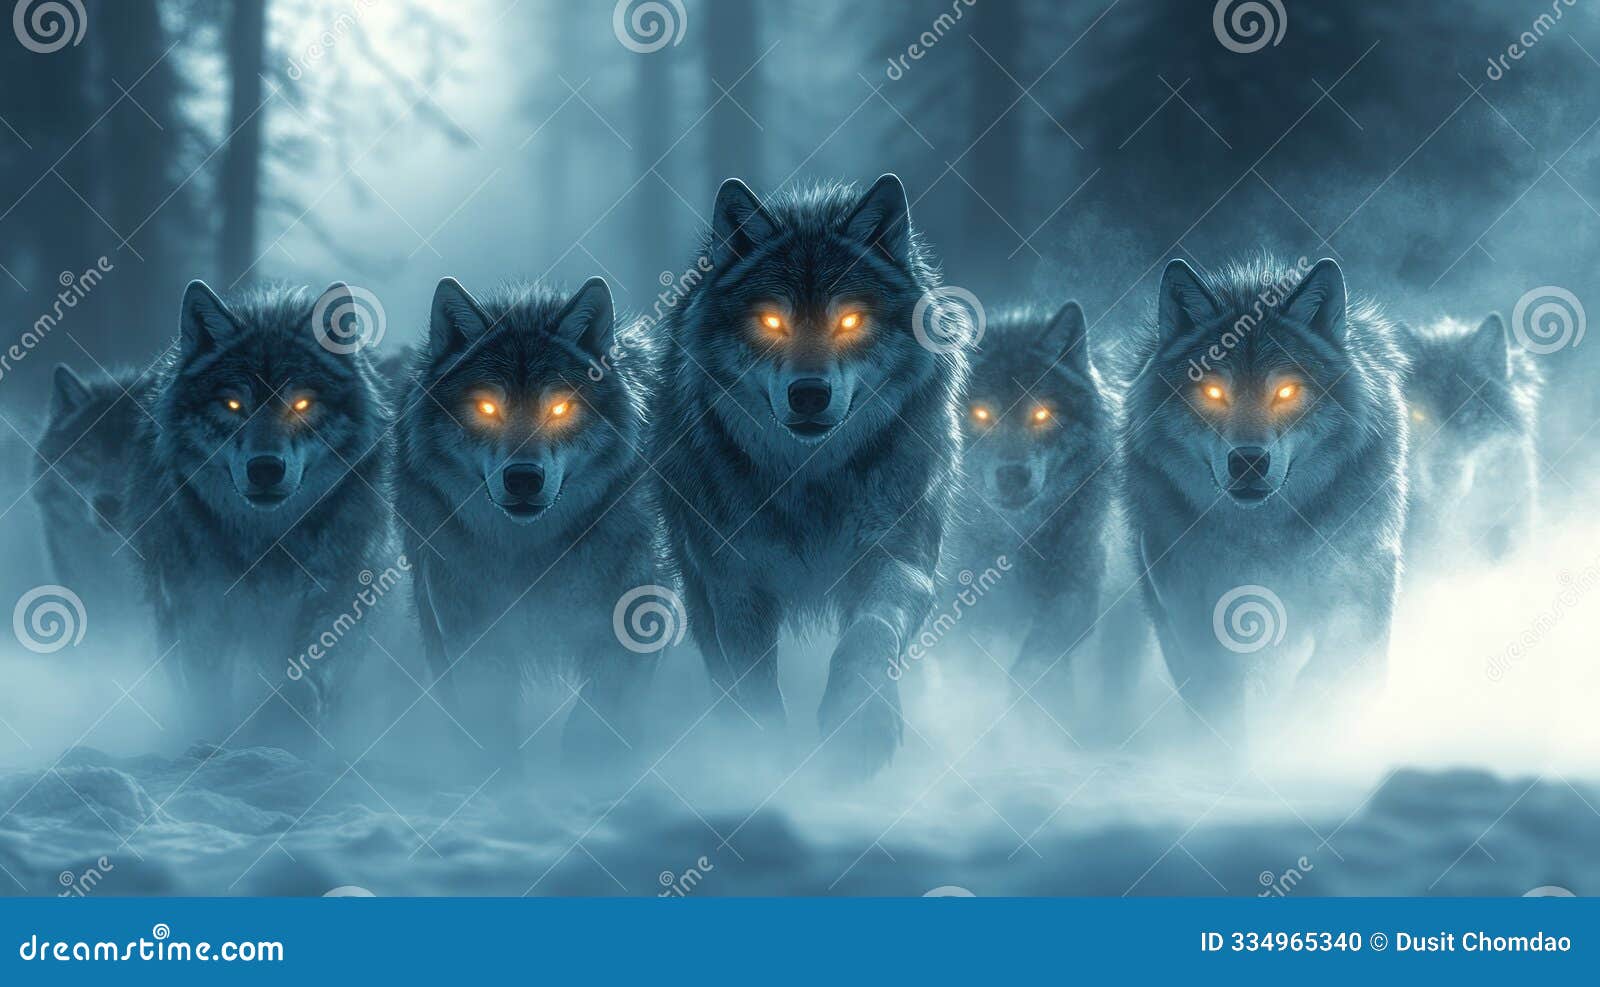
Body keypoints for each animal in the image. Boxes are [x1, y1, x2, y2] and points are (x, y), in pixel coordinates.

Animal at [124, 281, 391, 747]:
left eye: (301, 403)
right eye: (233, 405)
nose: (265, 469)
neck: (269, 542)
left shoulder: (337, 597)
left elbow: (306, 672)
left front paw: (288, 730)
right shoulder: (200, 611)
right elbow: (208, 693)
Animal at [394, 277, 661, 770]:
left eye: (559, 408)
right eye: (485, 407)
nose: (522, 478)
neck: (531, 552)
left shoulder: (637, 623)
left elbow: (592, 721)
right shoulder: (470, 634)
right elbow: (491, 725)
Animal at [650, 174, 966, 776]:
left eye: (850, 320)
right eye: (771, 321)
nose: (809, 394)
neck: (810, 482)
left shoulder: (900, 559)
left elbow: (869, 636)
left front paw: (860, 724)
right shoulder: (736, 587)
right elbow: (752, 686)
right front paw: (763, 754)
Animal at [942, 302, 1114, 701]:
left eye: (1042, 414)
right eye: (980, 414)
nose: (1012, 476)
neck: (1015, 541)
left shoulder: (1076, 590)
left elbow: (1037, 655)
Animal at [1120, 256, 1408, 735]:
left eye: (1287, 391)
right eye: (1213, 391)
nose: (1248, 462)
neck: (1261, 541)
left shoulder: (1357, 599)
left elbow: (1327, 681)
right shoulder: (1192, 621)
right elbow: (1223, 706)